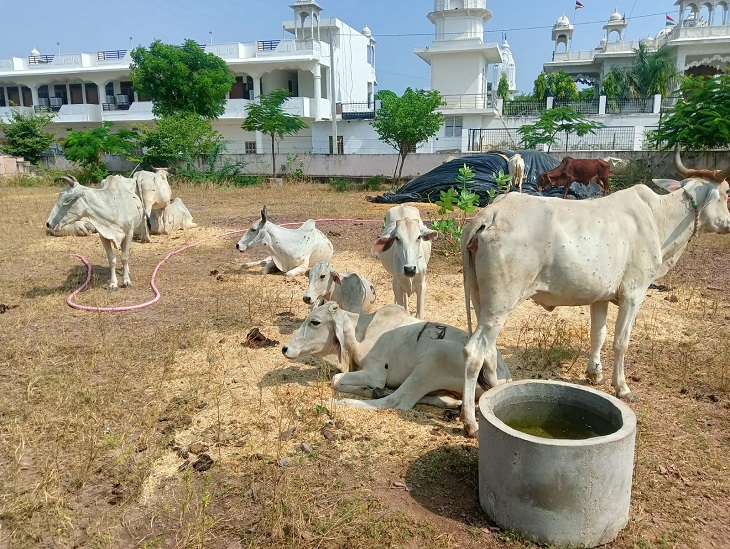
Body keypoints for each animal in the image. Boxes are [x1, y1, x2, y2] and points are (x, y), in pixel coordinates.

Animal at [282, 301, 512, 410]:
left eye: (315, 322)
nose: (285, 348)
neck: (362, 331)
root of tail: (502, 372)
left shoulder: (376, 373)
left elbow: (336, 379)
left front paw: (369, 390)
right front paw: (368, 390)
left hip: (434, 356)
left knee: (396, 401)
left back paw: (340, 402)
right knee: (443, 400)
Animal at [458, 146, 730, 437]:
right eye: (727, 193)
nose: (728, 223)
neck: (659, 218)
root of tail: (490, 214)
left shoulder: (600, 297)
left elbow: (598, 335)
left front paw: (594, 373)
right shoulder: (634, 293)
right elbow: (621, 341)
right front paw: (622, 387)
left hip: (481, 299)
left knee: (488, 349)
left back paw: (495, 389)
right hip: (501, 302)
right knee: (474, 351)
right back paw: (470, 422)